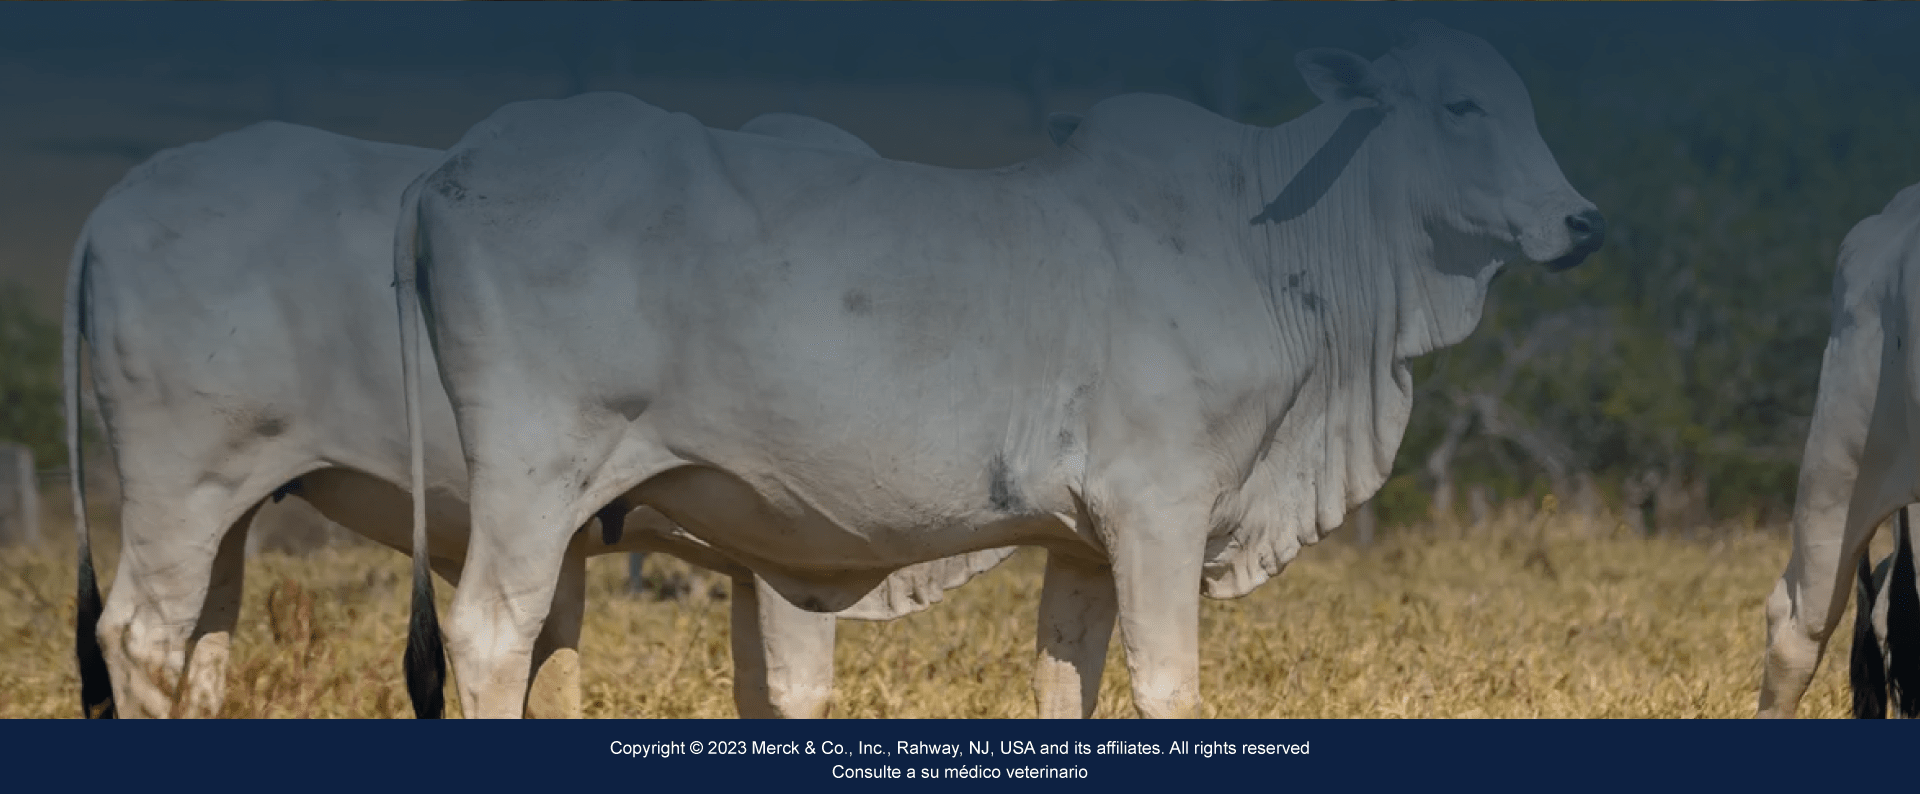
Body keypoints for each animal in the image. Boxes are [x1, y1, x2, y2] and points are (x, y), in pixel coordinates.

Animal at [65, 113, 1010, 720]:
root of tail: (117, 202)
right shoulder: (798, 551)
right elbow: (798, 693)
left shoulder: (753, 565)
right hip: (179, 489)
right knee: (140, 636)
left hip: (227, 510)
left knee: (201, 651)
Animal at [394, 19, 1603, 719]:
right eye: (1460, 107)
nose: (1581, 221)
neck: (1262, 238)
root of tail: (449, 168)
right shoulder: (1159, 512)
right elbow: (1169, 686)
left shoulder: (1080, 543)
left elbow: (1064, 683)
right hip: (531, 486)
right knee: (489, 637)